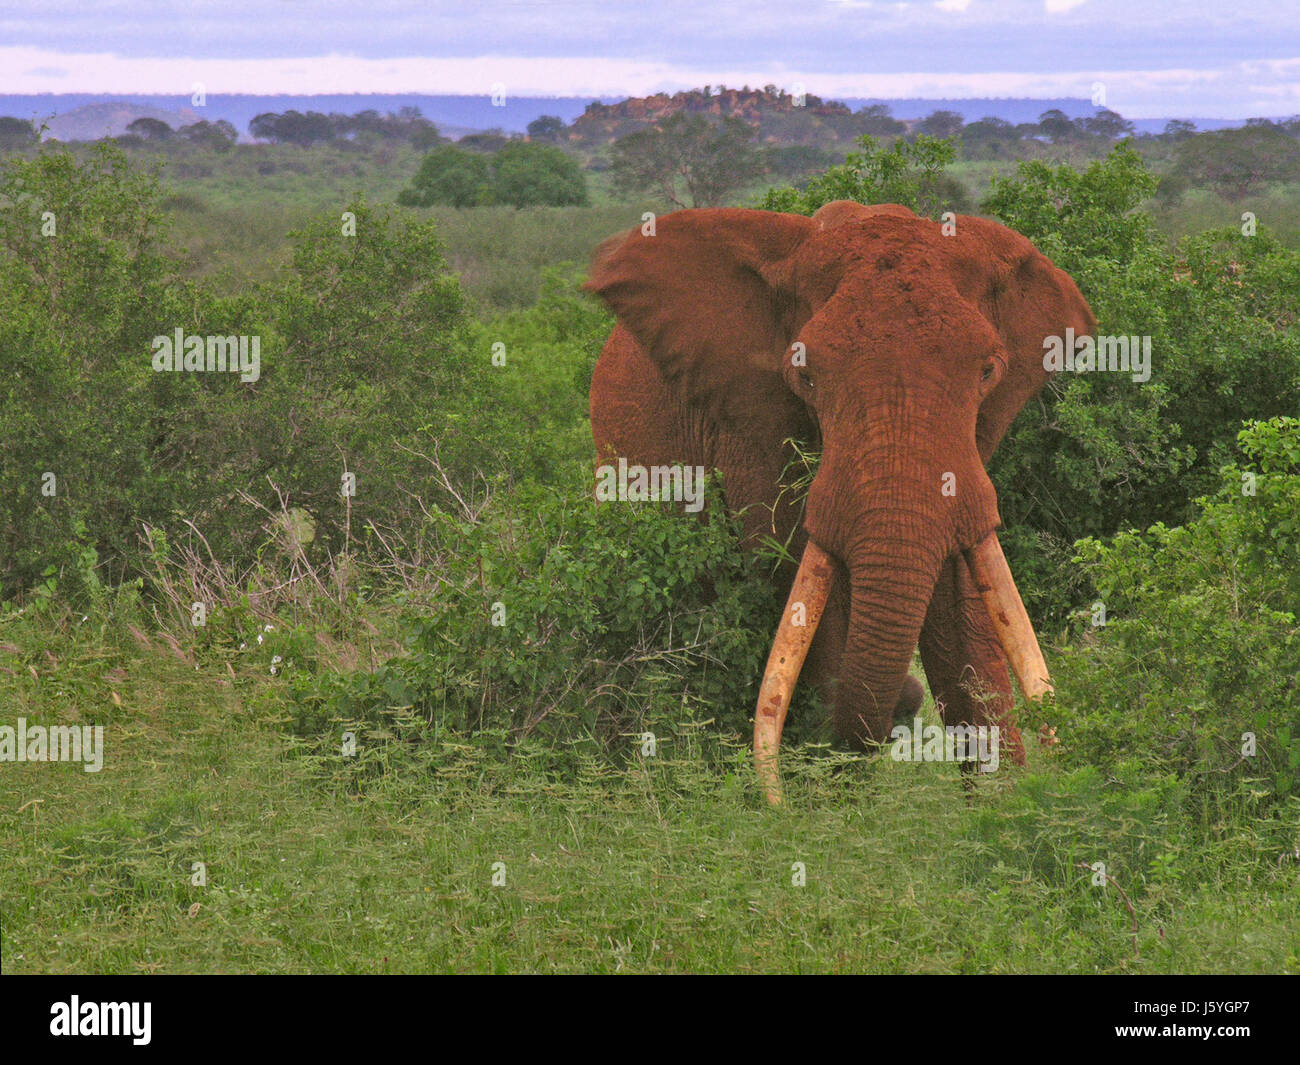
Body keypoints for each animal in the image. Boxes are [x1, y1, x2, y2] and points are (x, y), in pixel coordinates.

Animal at [584, 201, 1095, 803]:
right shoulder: (751, 429)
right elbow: (802, 591)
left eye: (988, 371)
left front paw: (1006, 807)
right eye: (804, 377)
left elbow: (960, 598)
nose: (905, 703)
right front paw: (832, 811)